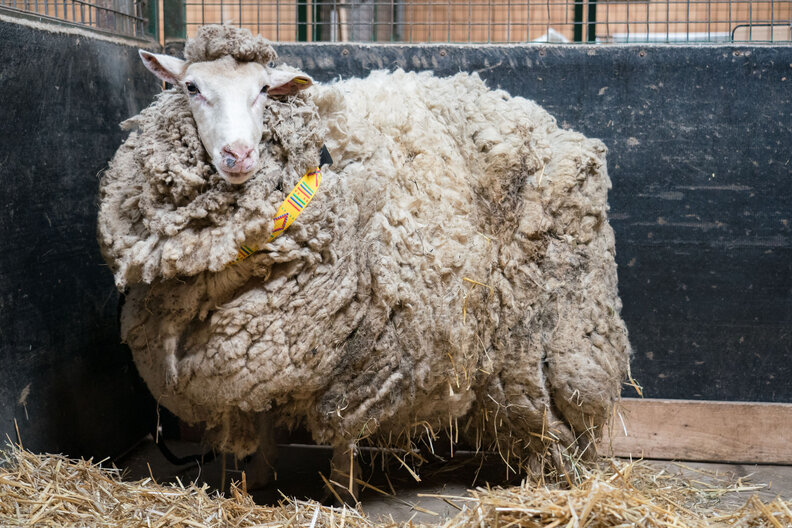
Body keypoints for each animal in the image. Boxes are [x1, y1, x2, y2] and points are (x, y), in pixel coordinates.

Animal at [97, 25, 631, 499]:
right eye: (192, 87)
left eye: (264, 90)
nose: (238, 155)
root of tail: (527, 109)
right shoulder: (252, 353)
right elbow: (257, 419)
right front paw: (253, 479)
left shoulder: (367, 357)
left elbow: (343, 431)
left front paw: (342, 491)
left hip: (552, 332)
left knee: (557, 409)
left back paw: (556, 473)